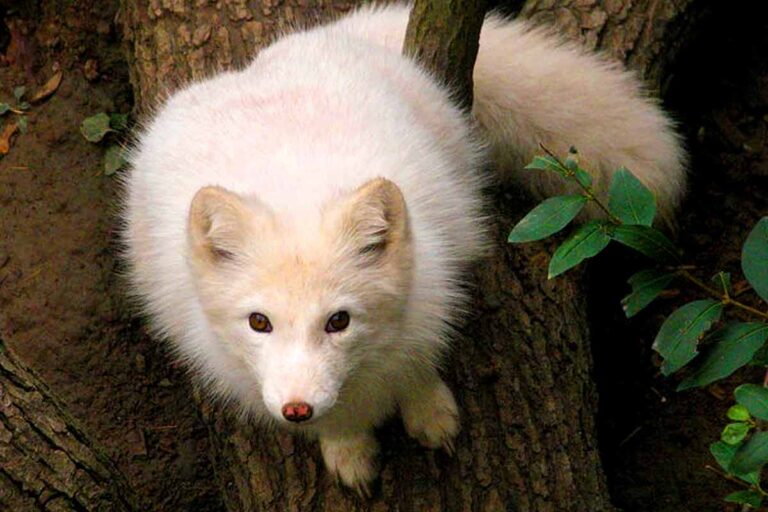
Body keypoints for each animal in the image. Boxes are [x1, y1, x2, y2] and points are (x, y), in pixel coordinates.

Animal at [122, 3, 686, 494]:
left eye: (339, 321)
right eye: (259, 323)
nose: (297, 409)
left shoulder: (435, 285)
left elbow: (418, 361)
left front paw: (429, 411)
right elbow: (339, 423)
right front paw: (346, 447)